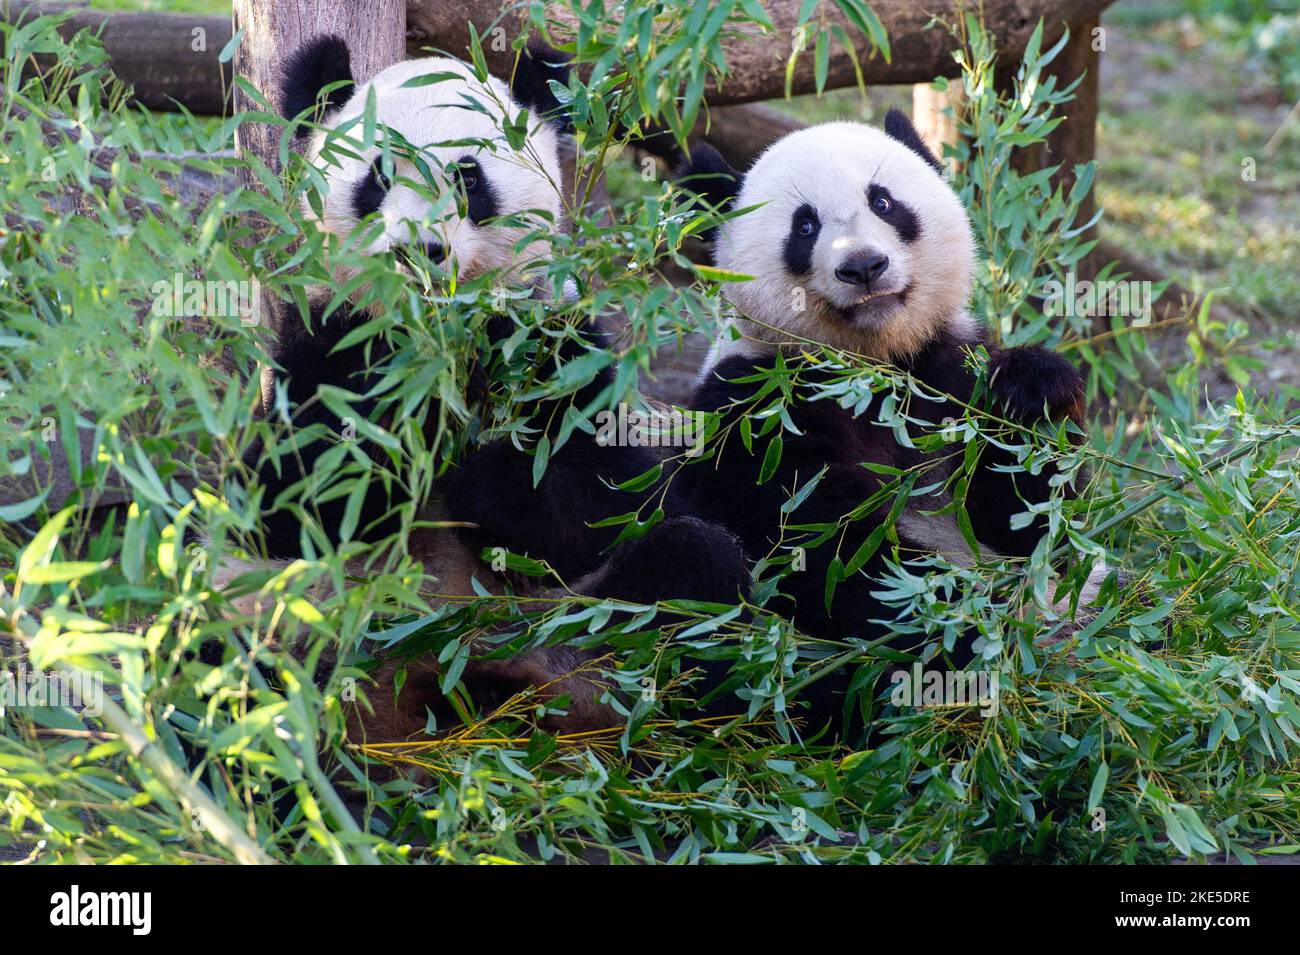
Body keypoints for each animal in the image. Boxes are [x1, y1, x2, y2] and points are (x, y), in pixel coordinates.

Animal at [229, 36, 750, 744]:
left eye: (468, 178)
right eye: (378, 176)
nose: (419, 253)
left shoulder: (557, 347)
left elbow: (604, 499)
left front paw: (486, 479)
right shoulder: (321, 342)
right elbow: (292, 502)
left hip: (578, 628)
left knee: (692, 574)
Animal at [672, 112, 1091, 730]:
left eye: (884, 202)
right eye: (804, 227)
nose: (864, 267)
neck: (870, 364)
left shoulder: (943, 373)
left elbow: (1033, 523)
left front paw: (1031, 387)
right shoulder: (756, 407)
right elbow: (824, 547)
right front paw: (966, 625)